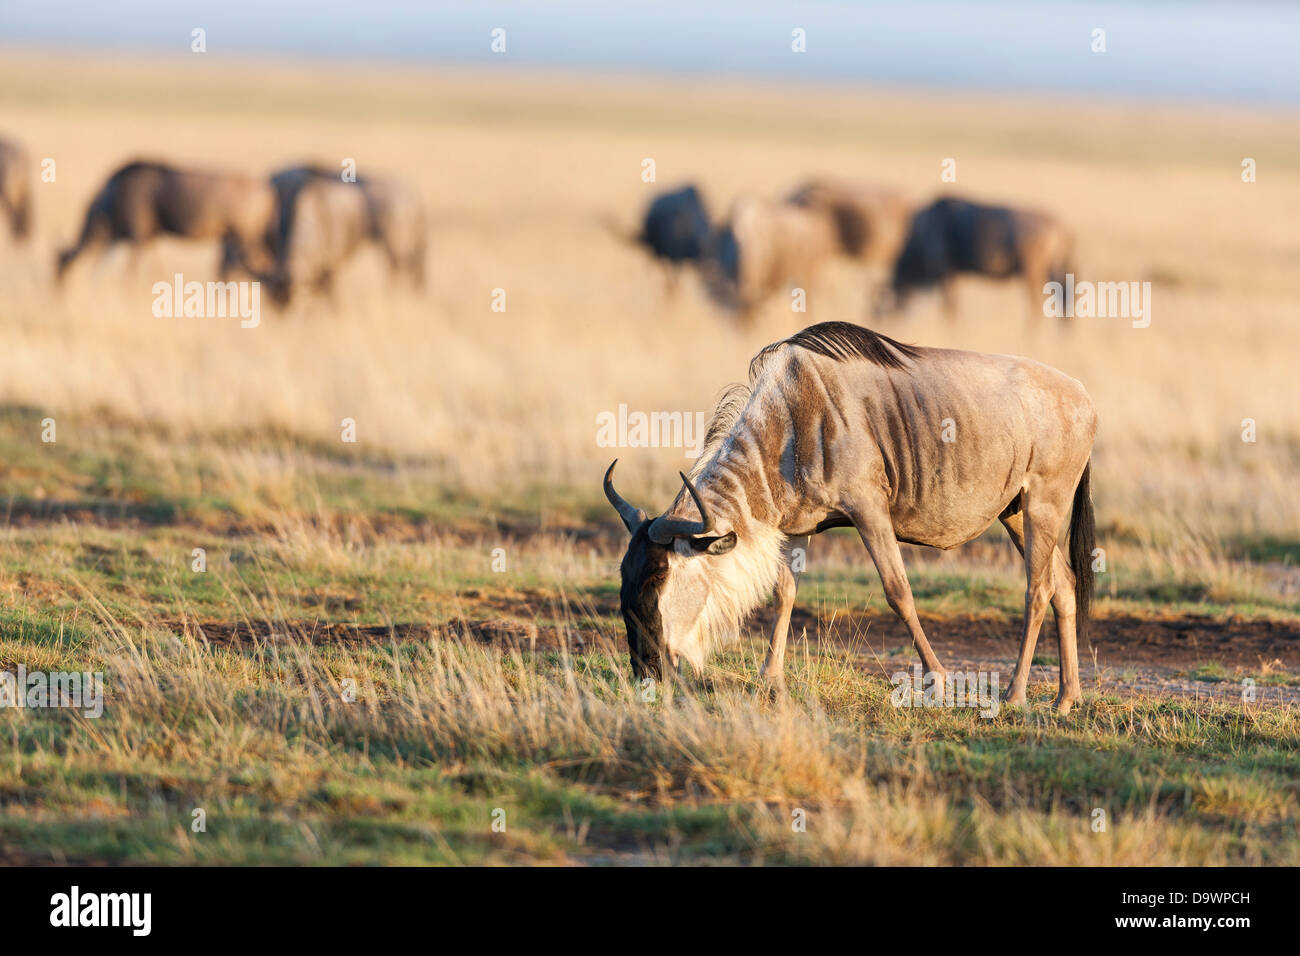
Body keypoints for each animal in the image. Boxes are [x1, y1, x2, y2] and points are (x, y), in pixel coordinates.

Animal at [605, 321, 1096, 713]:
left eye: (658, 577)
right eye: (624, 576)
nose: (645, 671)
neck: (794, 419)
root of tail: (1083, 396)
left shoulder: (869, 509)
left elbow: (898, 592)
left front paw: (937, 681)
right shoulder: (796, 526)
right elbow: (784, 593)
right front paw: (770, 679)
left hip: (1044, 503)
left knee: (1038, 589)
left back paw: (1015, 694)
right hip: (1015, 512)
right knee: (1065, 584)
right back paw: (1065, 698)